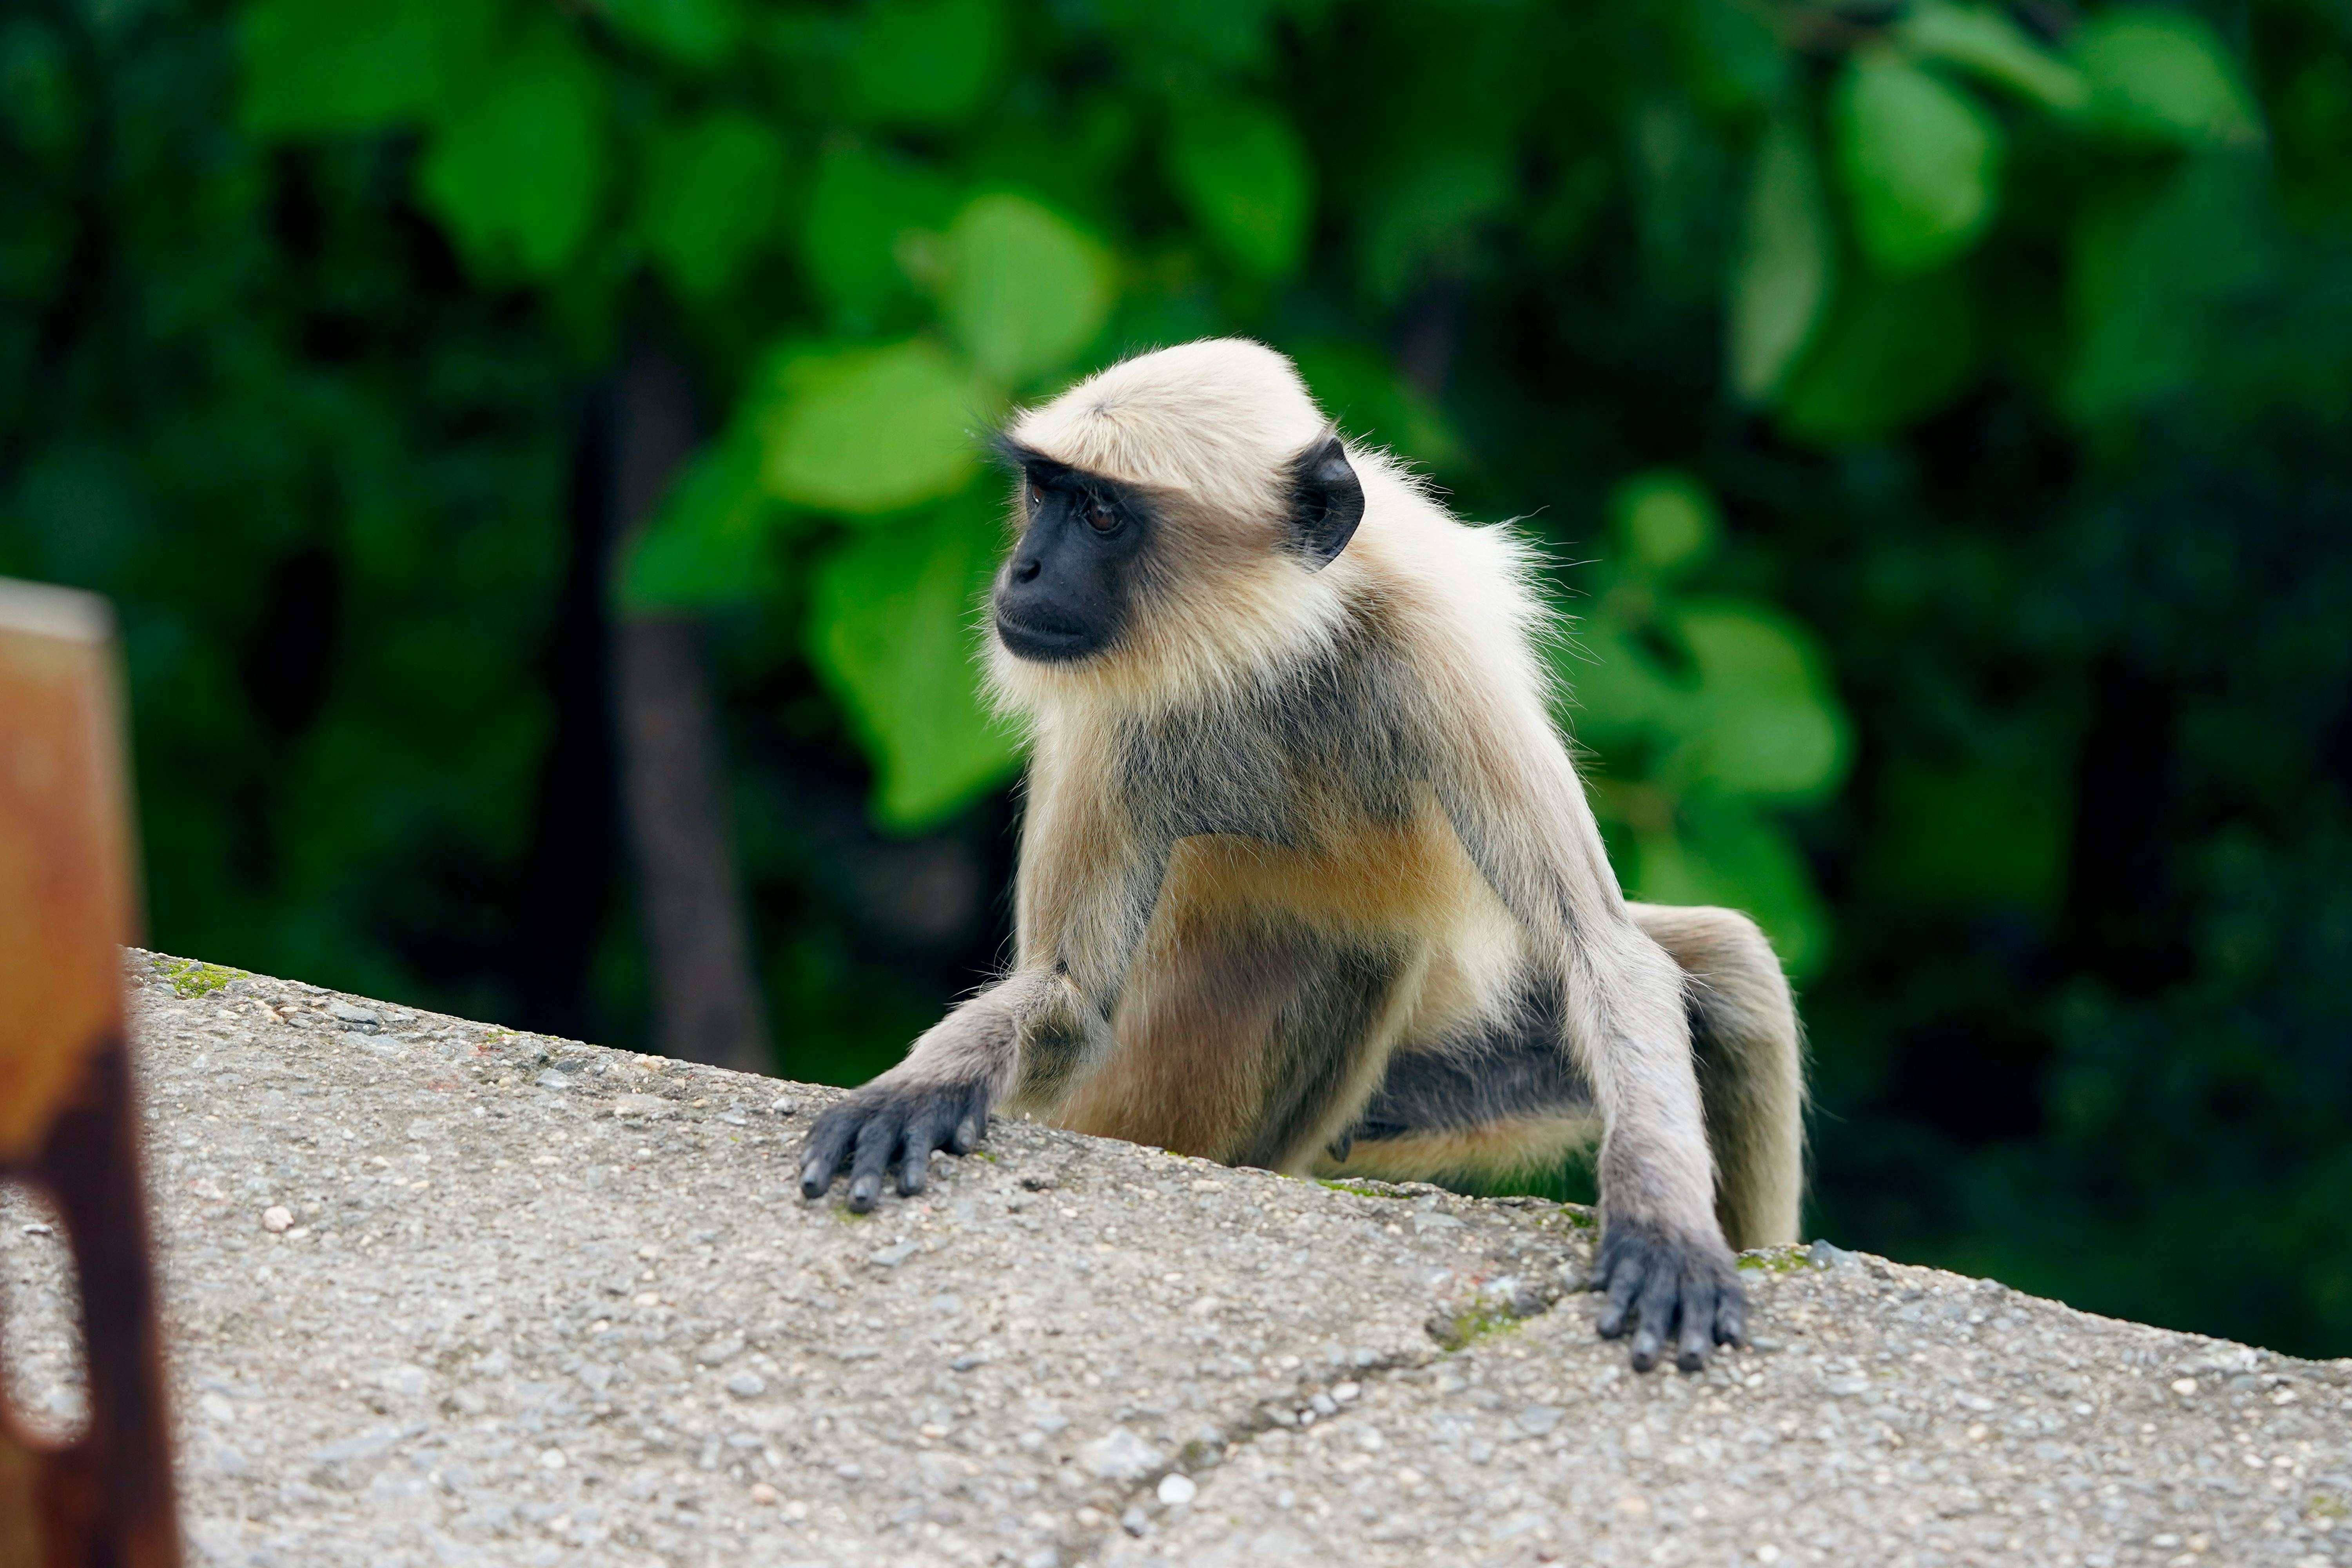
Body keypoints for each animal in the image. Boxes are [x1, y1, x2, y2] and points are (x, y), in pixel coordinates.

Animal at [800, 338, 1806, 1372]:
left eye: (1102, 514)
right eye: (1043, 492)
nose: (1026, 567)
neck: (1270, 649)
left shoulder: (1437, 655)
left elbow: (1599, 946)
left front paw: (1664, 1227)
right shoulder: (1116, 721)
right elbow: (1068, 998)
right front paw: (925, 1085)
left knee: (1724, 976)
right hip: (1152, 1078)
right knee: (1333, 943)